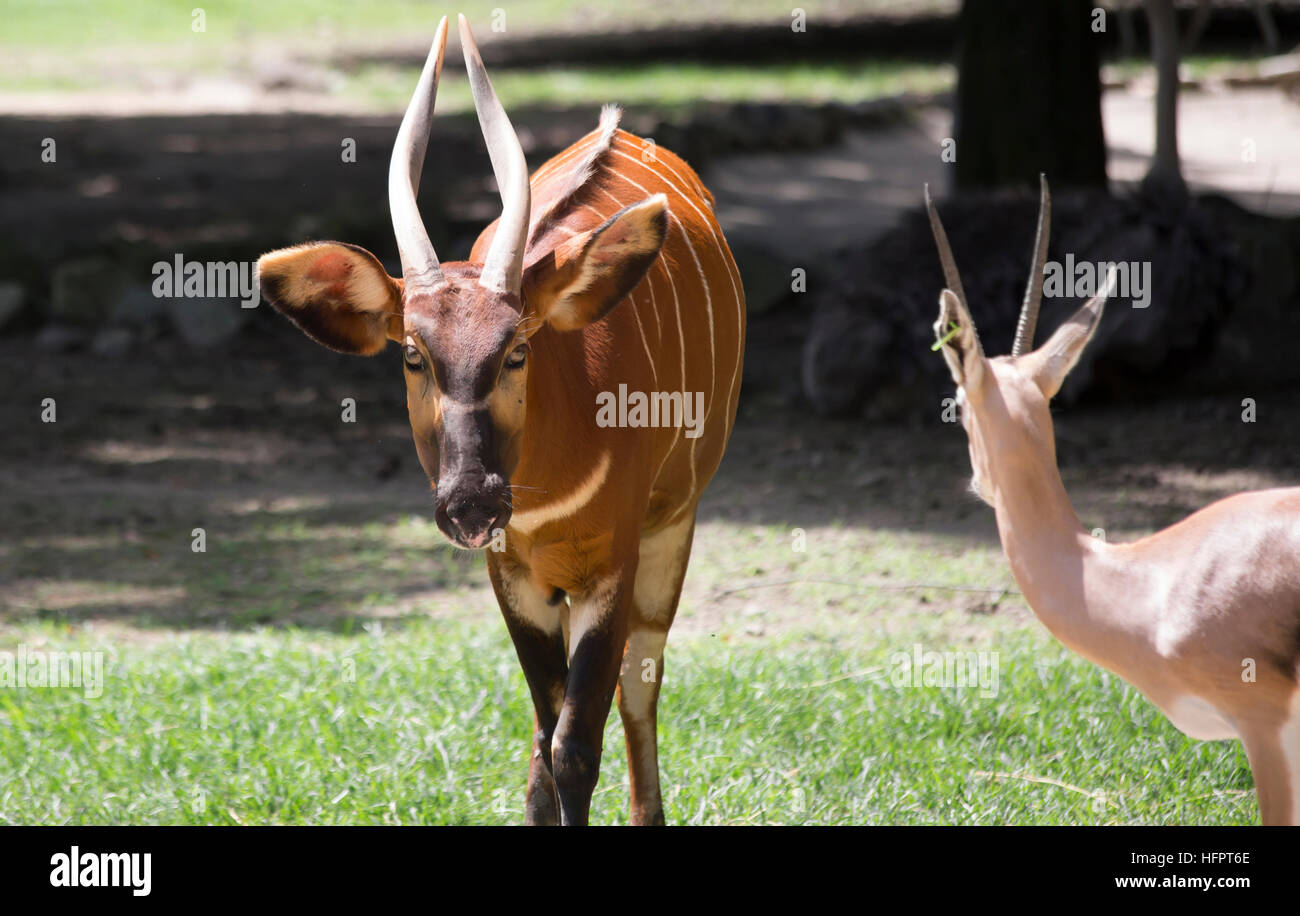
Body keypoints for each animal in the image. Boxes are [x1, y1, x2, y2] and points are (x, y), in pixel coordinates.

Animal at [254, 15, 744, 825]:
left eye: (518, 349)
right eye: (412, 354)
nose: (471, 501)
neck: (547, 488)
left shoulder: (612, 563)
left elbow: (578, 745)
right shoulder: (512, 573)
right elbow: (548, 741)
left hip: (674, 523)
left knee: (639, 686)